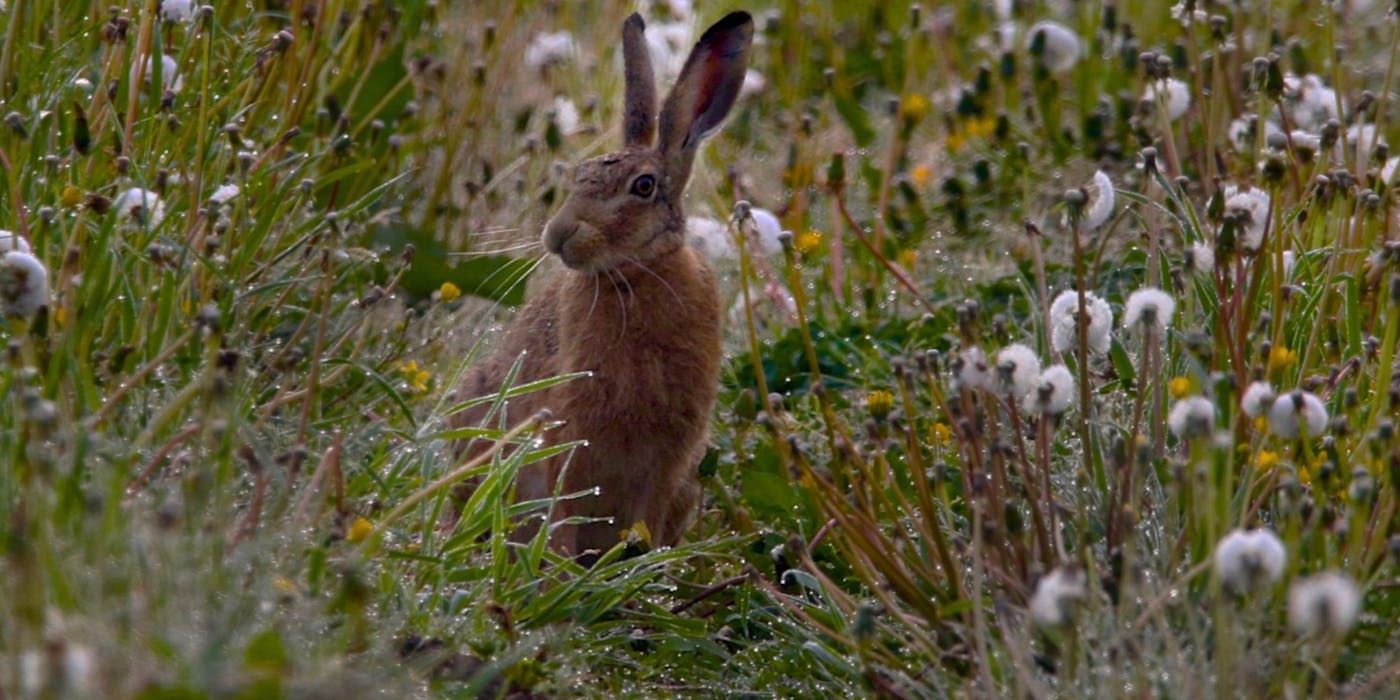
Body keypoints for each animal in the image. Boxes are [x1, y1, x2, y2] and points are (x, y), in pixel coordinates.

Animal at [453, 11, 754, 558]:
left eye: (643, 186)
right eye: (579, 175)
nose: (558, 235)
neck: (634, 276)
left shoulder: (669, 458)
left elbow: (646, 520)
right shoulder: (567, 435)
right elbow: (562, 506)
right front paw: (562, 567)